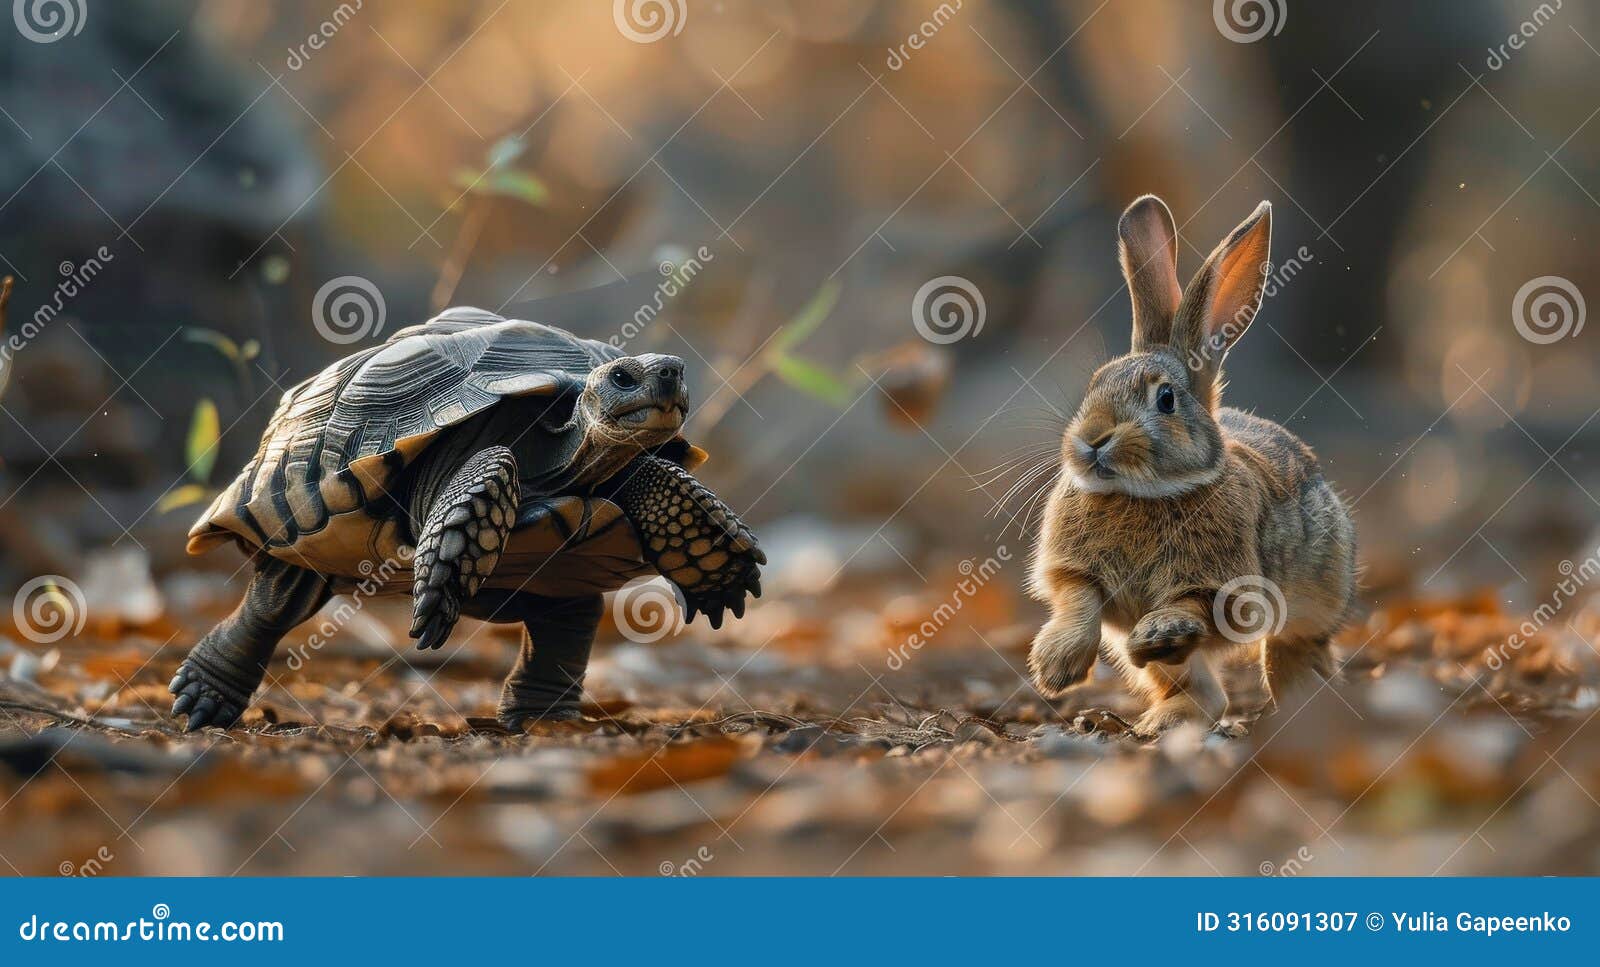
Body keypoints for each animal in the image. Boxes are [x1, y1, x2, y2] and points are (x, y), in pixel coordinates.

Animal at [1026, 194, 1355, 738]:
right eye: (1095, 384)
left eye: (1165, 399)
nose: (1091, 439)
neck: (1147, 493)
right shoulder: (1074, 572)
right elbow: (1078, 599)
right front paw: (1055, 667)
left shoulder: (1227, 588)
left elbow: (1195, 603)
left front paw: (1162, 628)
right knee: (1204, 694)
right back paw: (1159, 721)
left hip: (1312, 609)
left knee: (1289, 657)